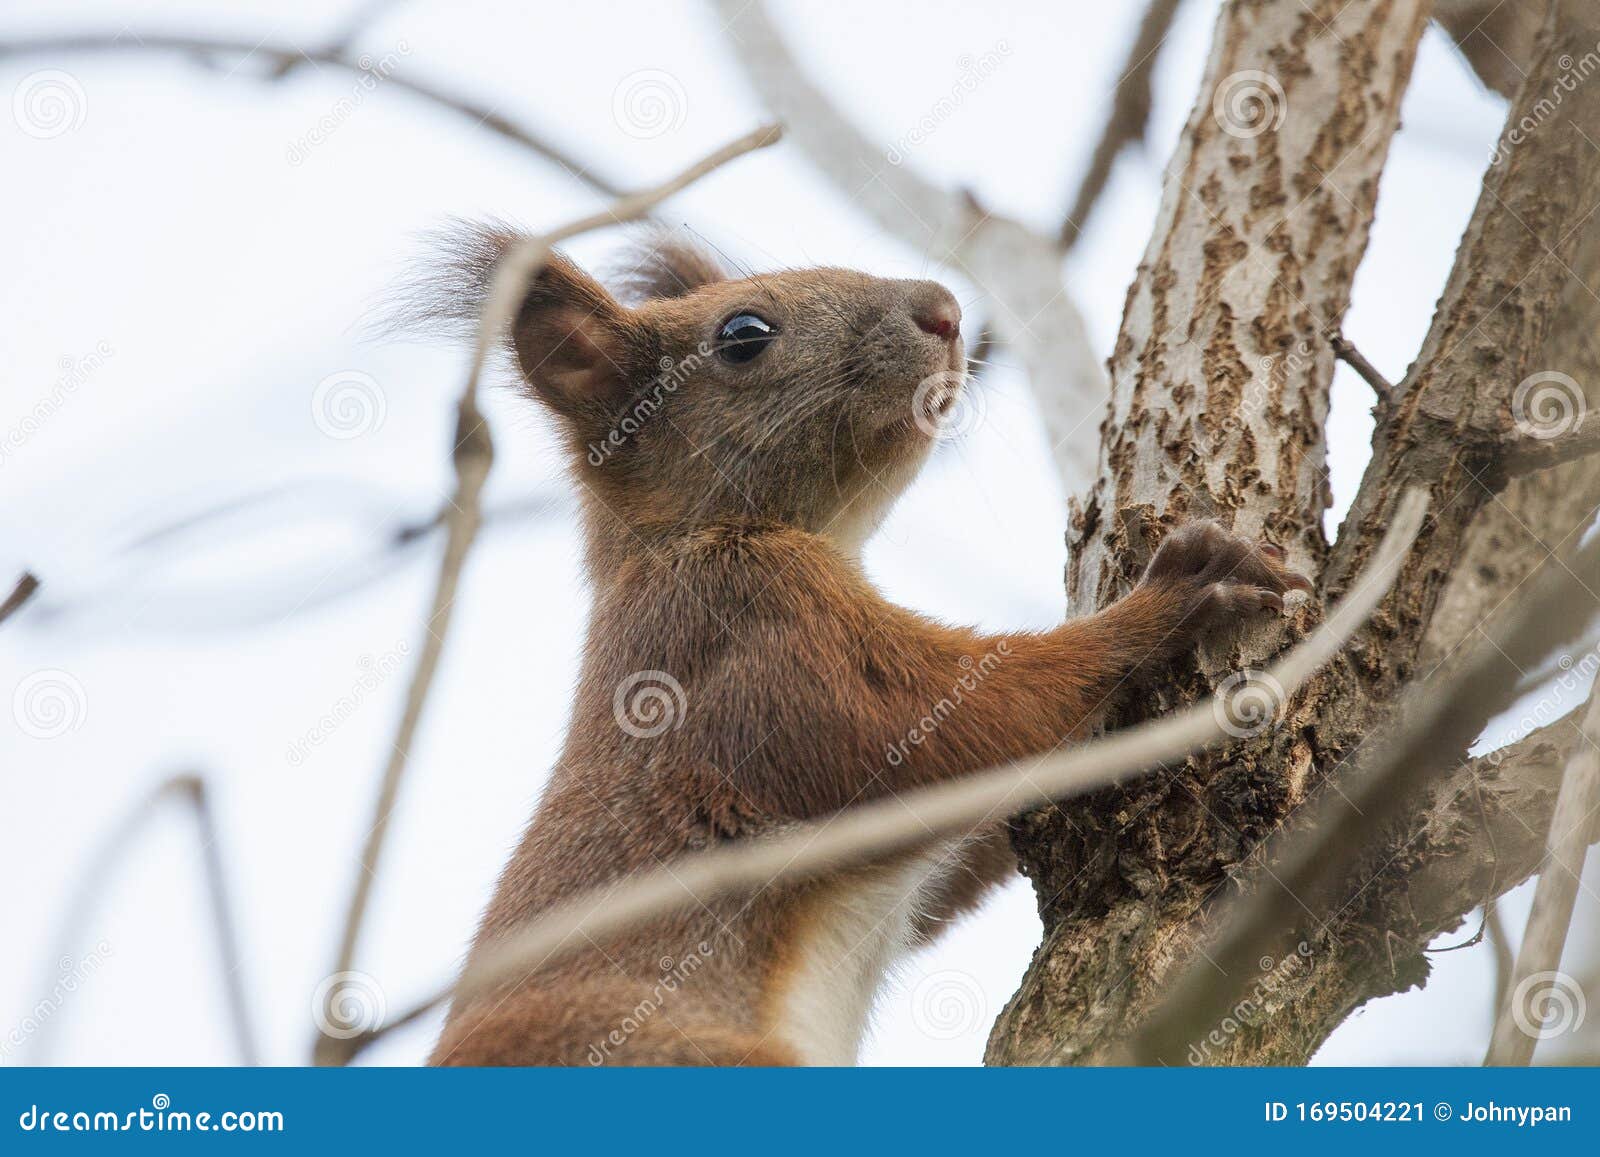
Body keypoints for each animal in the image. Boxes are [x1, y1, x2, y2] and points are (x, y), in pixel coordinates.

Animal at [419, 228, 1311, 1066]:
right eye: (743, 334)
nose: (944, 311)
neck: (686, 541)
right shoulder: (747, 631)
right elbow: (945, 716)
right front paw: (1180, 595)